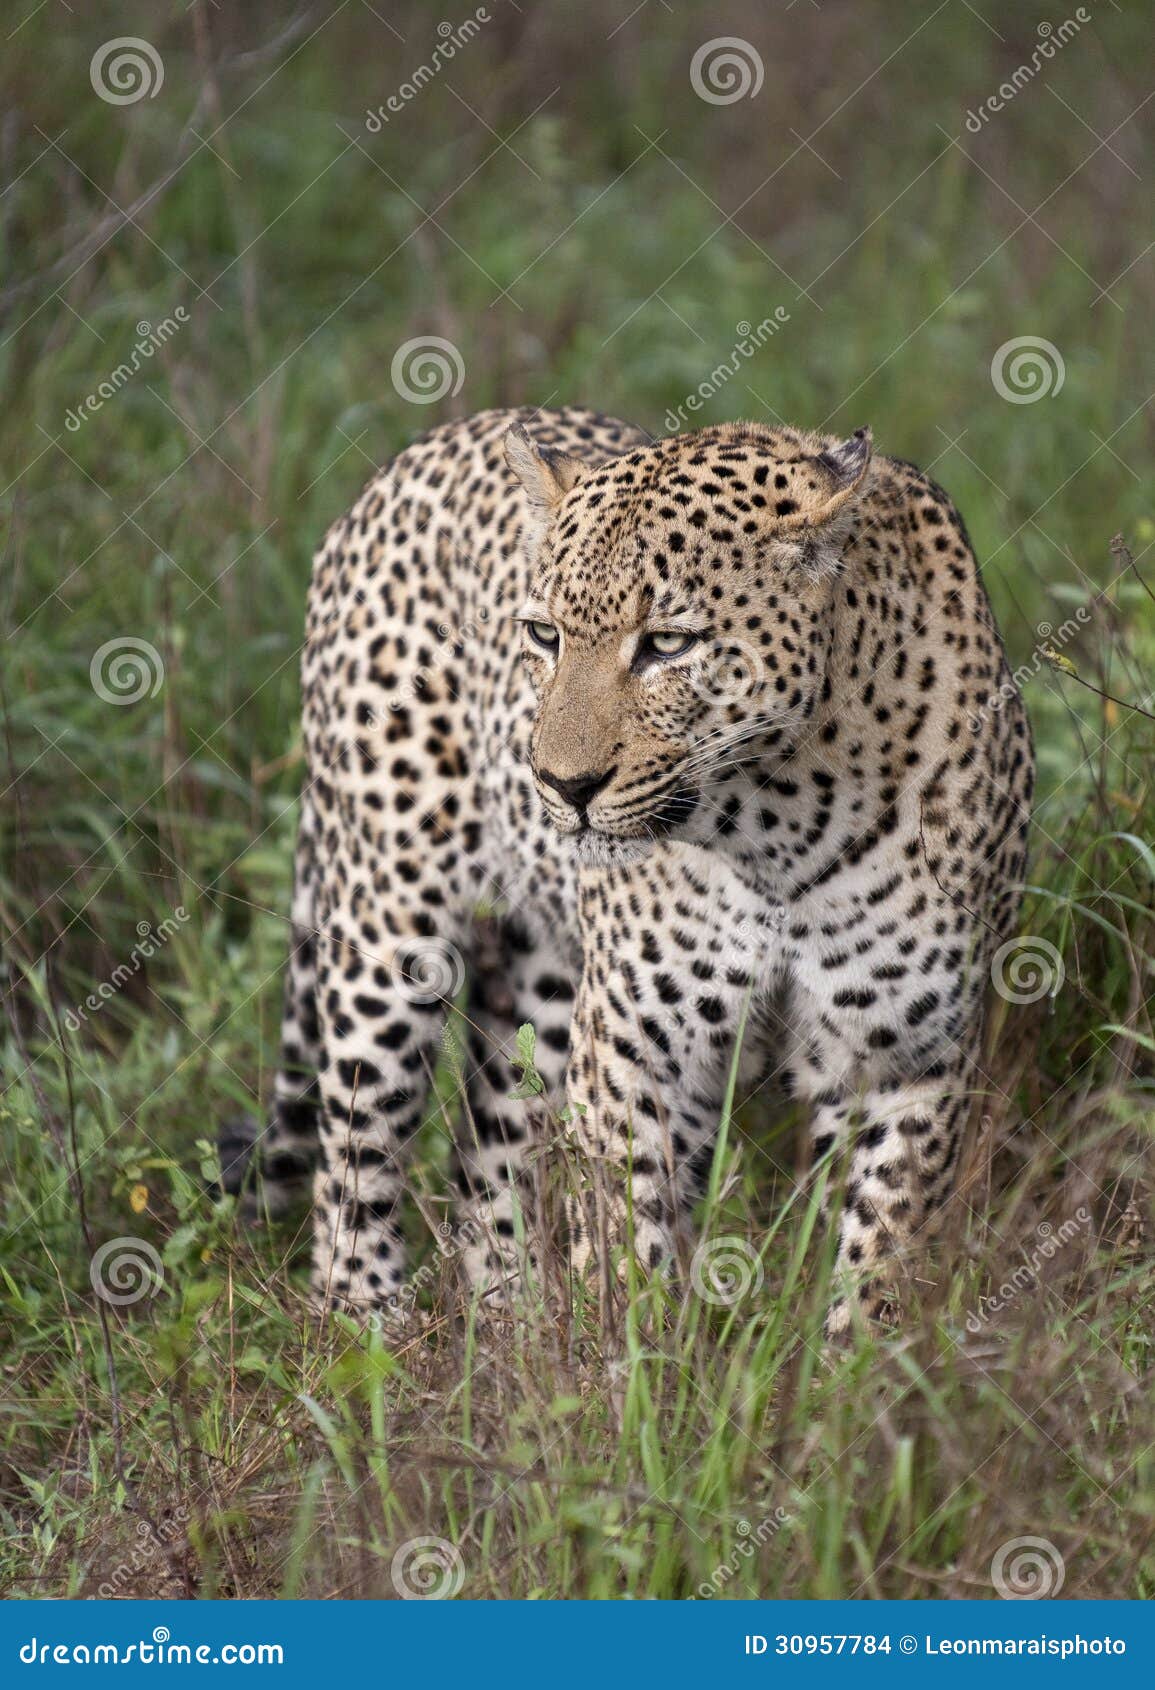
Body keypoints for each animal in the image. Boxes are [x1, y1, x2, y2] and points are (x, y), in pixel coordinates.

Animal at [237, 403, 1033, 1336]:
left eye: (666, 644)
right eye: (543, 635)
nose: (560, 784)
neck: (782, 822)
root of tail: (426, 445)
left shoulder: (909, 1053)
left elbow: (881, 1250)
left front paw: (853, 1365)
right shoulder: (632, 1044)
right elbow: (625, 1238)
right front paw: (629, 1362)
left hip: (543, 986)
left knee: (488, 1162)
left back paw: (510, 1328)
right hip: (390, 928)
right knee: (355, 1151)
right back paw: (364, 1328)